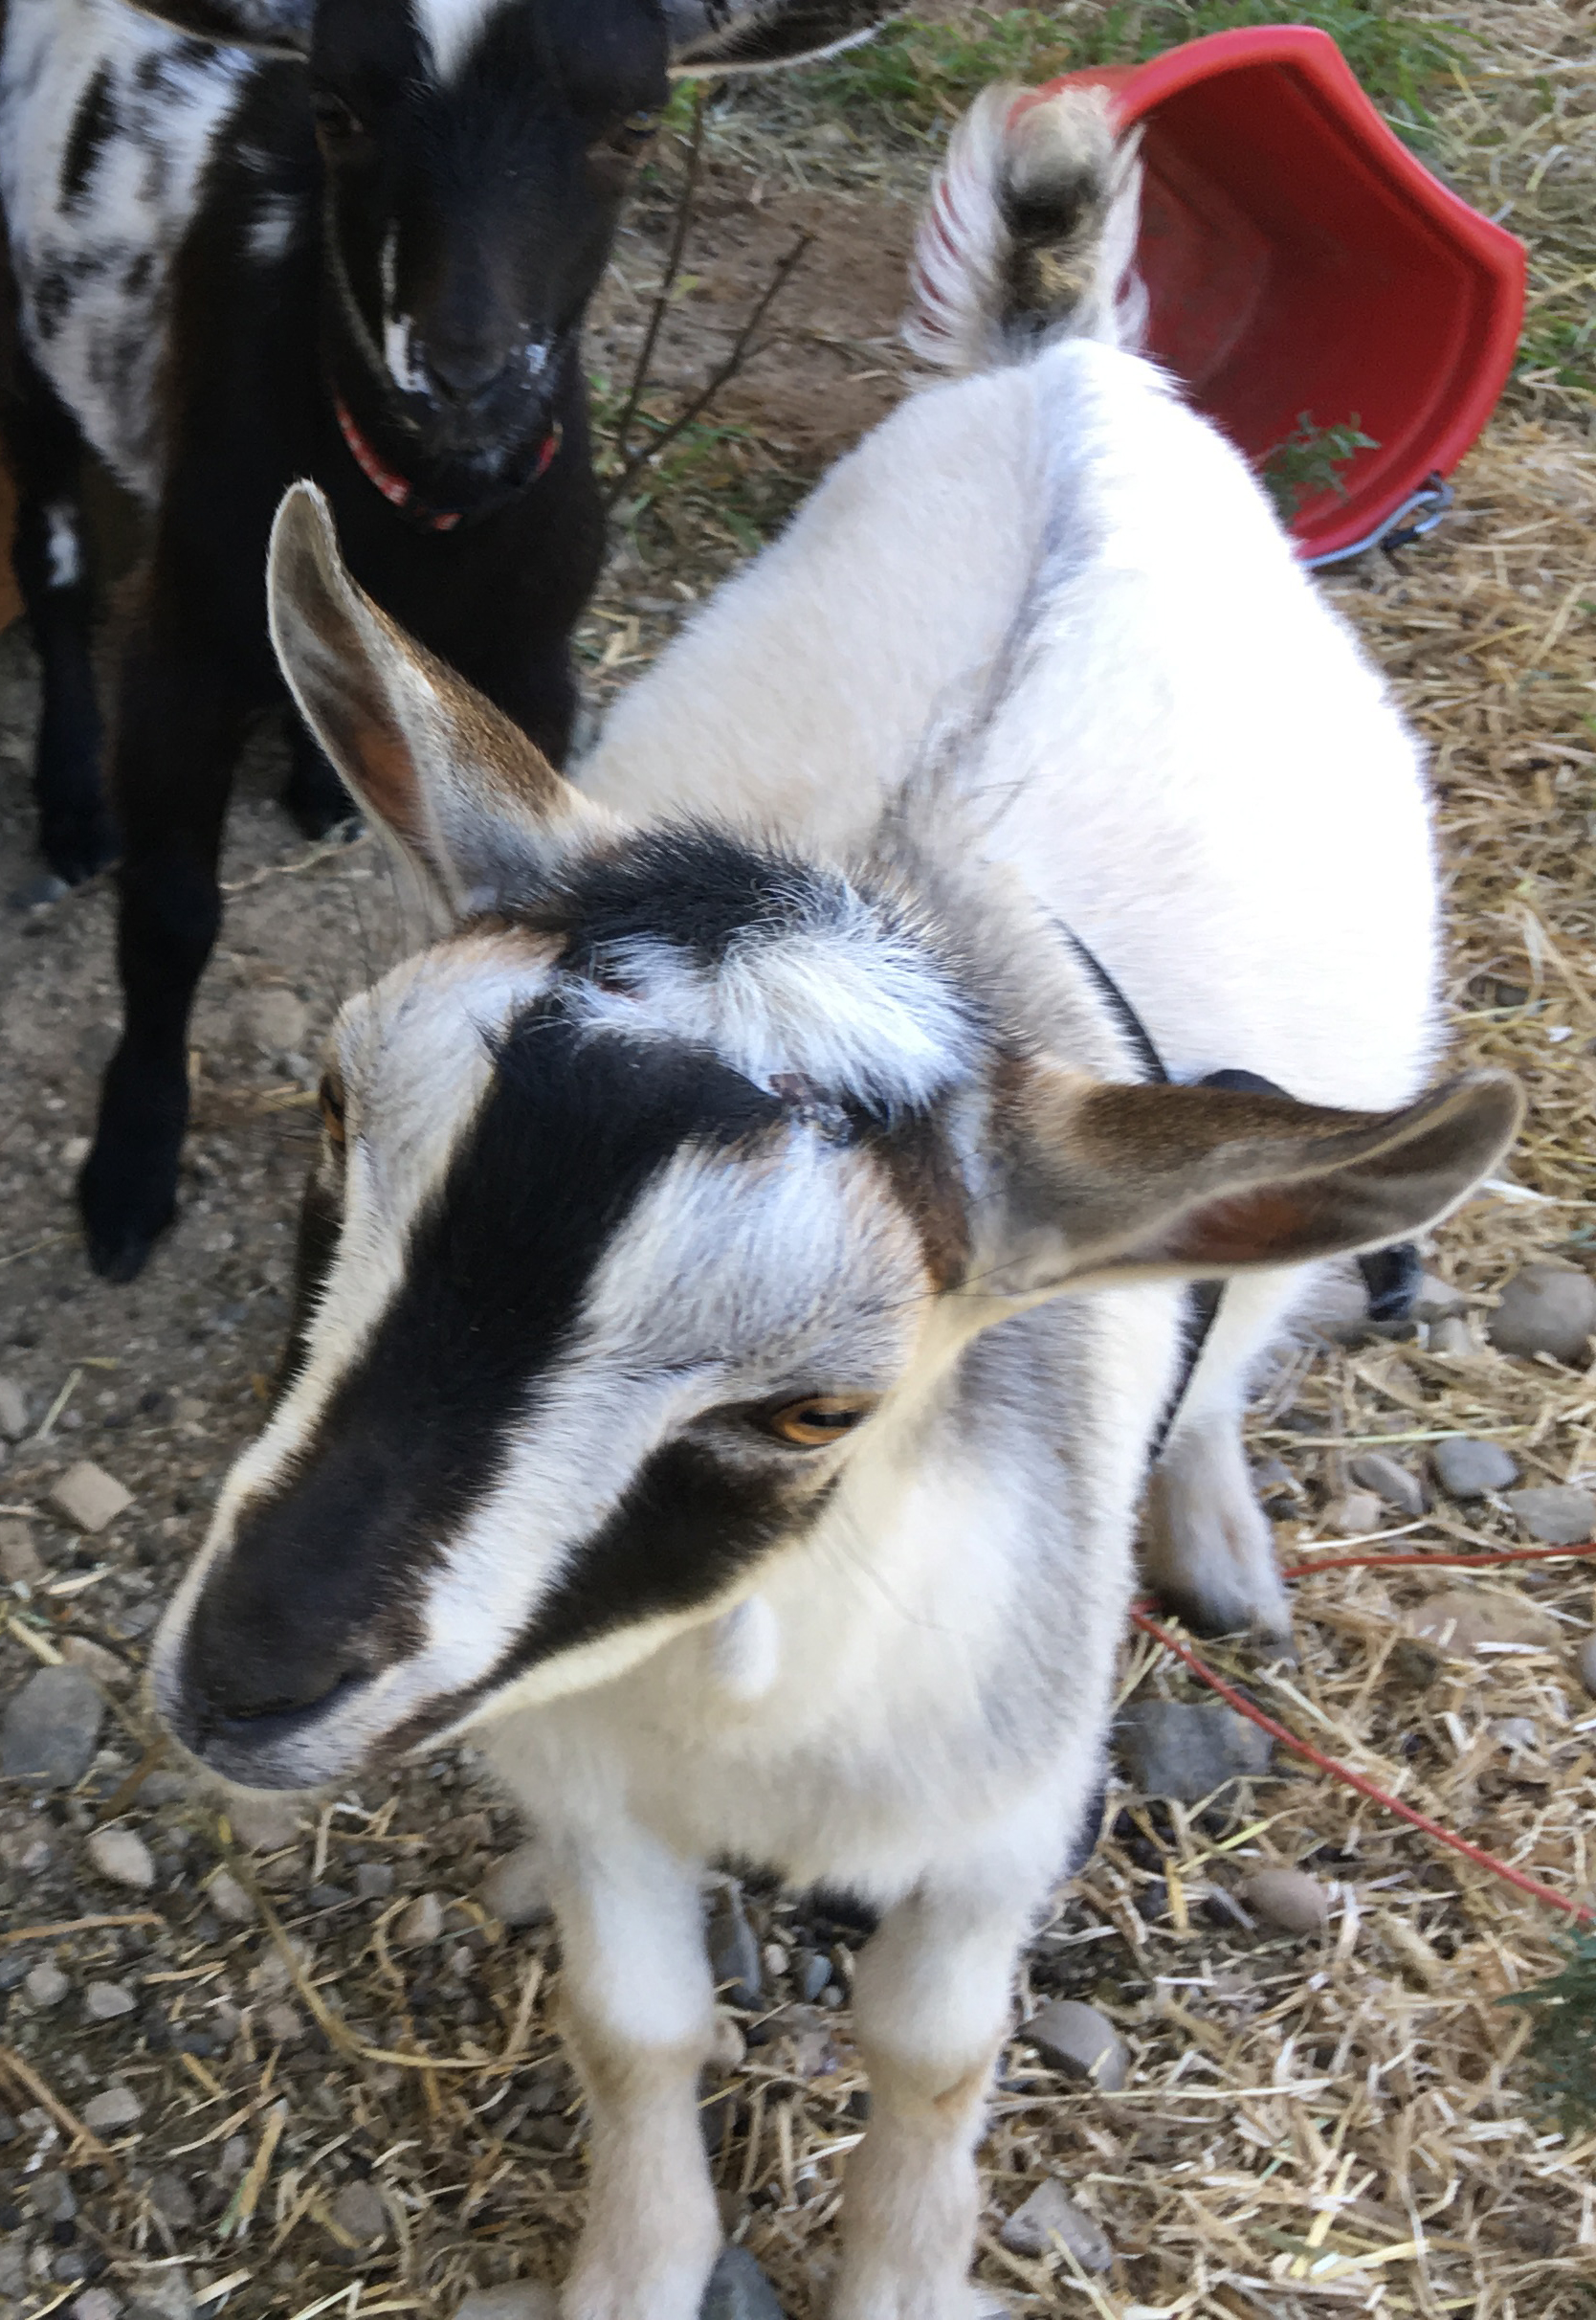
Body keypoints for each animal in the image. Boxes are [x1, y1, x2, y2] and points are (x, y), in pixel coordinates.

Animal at [0, 0, 898, 1282]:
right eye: (336, 110)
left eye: (636, 123)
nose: (466, 371)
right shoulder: (184, 645)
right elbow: (171, 915)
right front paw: (128, 1170)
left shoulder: (534, 664)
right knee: (53, 550)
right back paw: (74, 804)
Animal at [150, 88, 1519, 2320]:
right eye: (335, 1130)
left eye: (811, 1407)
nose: (251, 1675)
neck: (747, 1691)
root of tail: (1061, 358)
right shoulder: (595, 1775)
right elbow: (638, 2023)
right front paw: (636, 2264)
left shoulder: (1002, 1817)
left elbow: (933, 2047)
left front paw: (898, 2268)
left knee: (1243, 1341)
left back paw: (1219, 1537)